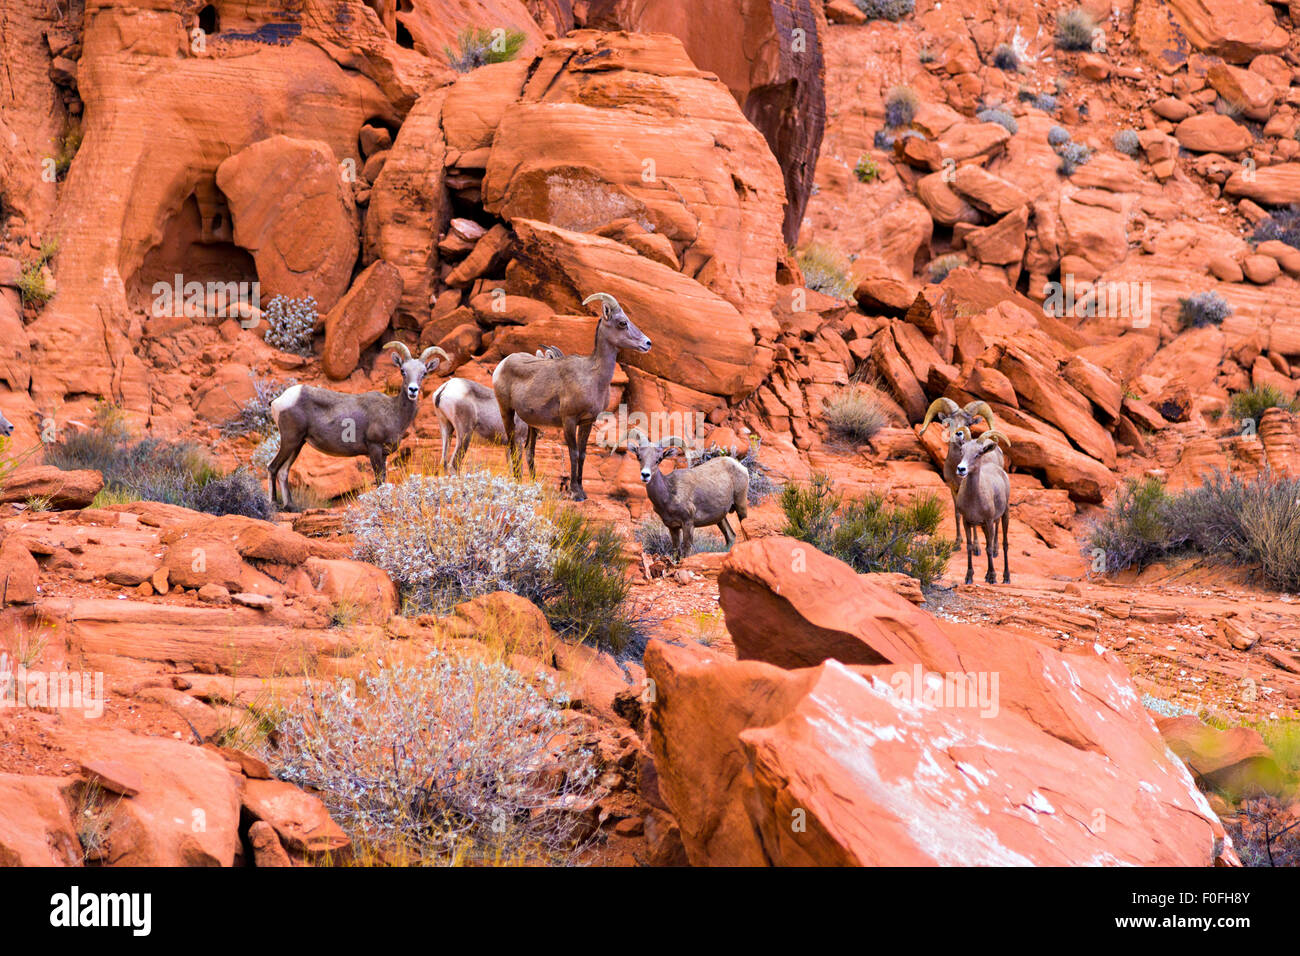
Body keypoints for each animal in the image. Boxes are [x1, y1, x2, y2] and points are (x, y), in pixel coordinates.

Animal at [267, 342, 448, 508]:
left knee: (283, 471)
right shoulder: (374, 449)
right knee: (272, 467)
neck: (393, 413)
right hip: (290, 440)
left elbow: (383, 480)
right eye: (403, 371)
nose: (413, 390)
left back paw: (290, 507)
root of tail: (279, 401)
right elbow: (379, 482)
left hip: (298, 444)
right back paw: (274, 504)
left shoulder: (384, 455)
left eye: (424, 373)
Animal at [494, 292, 652, 501]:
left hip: (531, 424)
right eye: (622, 323)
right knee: (513, 446)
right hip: (506, 411)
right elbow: (573, 453)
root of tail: (503, 364)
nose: (647, 343)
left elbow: (583, 454)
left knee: (529, 451)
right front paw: (575, 493)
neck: (593, 377)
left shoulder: (587, 421)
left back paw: (532, 485)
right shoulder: (568, 420)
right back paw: (517, 481)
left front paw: (582, 492)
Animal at [627, 432, 749, 561]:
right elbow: (676, 551)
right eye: (639, 456)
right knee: (731, 536)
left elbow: (686, 551)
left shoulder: (688, 524)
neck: (669, 494)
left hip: (741, 505)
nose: (645, 475)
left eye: (659, 459)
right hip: (720, 518)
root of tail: (741, 467)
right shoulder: (673, 527)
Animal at [919, 397, 997, 554]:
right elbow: (958, 514)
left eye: (968, 423)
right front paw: (957, 542)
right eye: (950, 422)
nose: (959, 434)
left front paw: (976, 548)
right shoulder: (953, 488)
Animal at [953, 430, 1012, 585]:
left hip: (1005, 515)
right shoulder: (967, 521)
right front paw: (969, 577)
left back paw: (1006, 577)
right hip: (985, 526)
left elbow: (989, 548)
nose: (961, 469)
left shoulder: (989, 521)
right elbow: (969, 547)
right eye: (962, 450)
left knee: (1004, 544)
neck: (974, 500)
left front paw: (992, 577)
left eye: (978, 453)